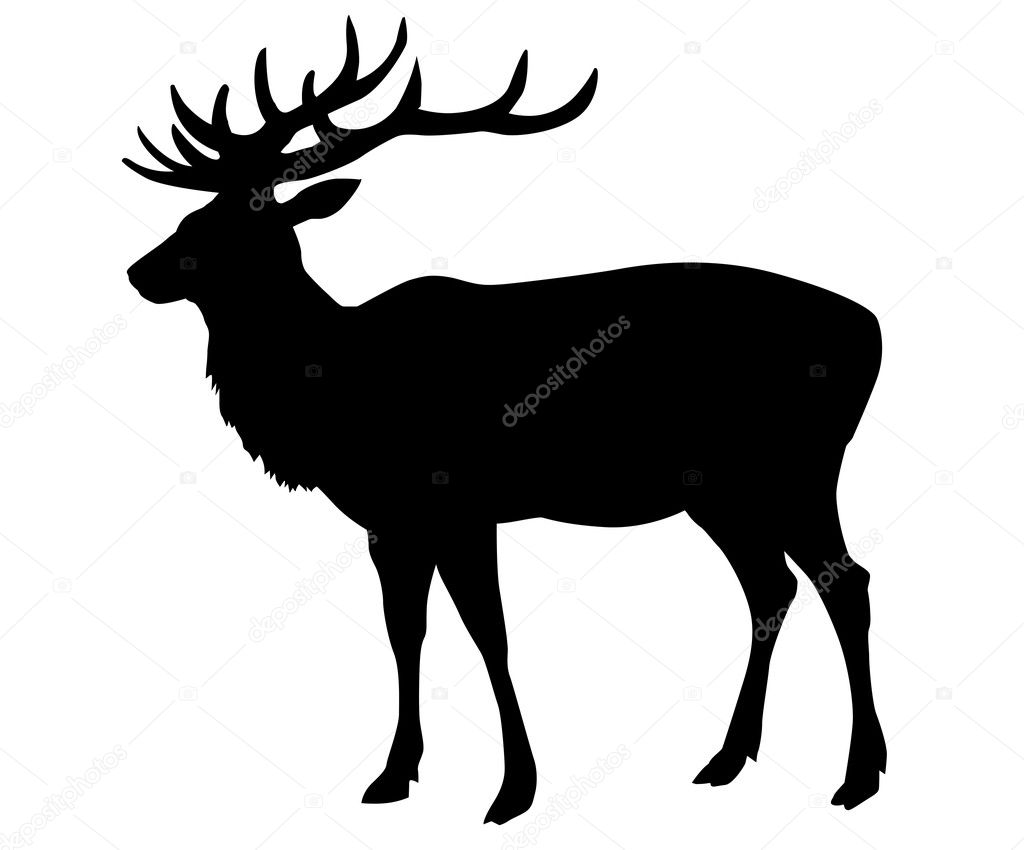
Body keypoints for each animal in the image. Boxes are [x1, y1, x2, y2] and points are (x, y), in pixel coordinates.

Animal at [124, 17, 886, 824]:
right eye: (191, 214)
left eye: (238, 223)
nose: (140, 271)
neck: (334, 386)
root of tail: (873, 331)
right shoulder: (390, 519)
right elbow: (404, 631)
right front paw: (394, 774)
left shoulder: (459, 500)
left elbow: (489, 633)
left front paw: (515, 787)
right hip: (719, 491)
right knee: (770, 589)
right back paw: (728, 758)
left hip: (799, 466)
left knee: (845, 582)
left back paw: (858, 774)